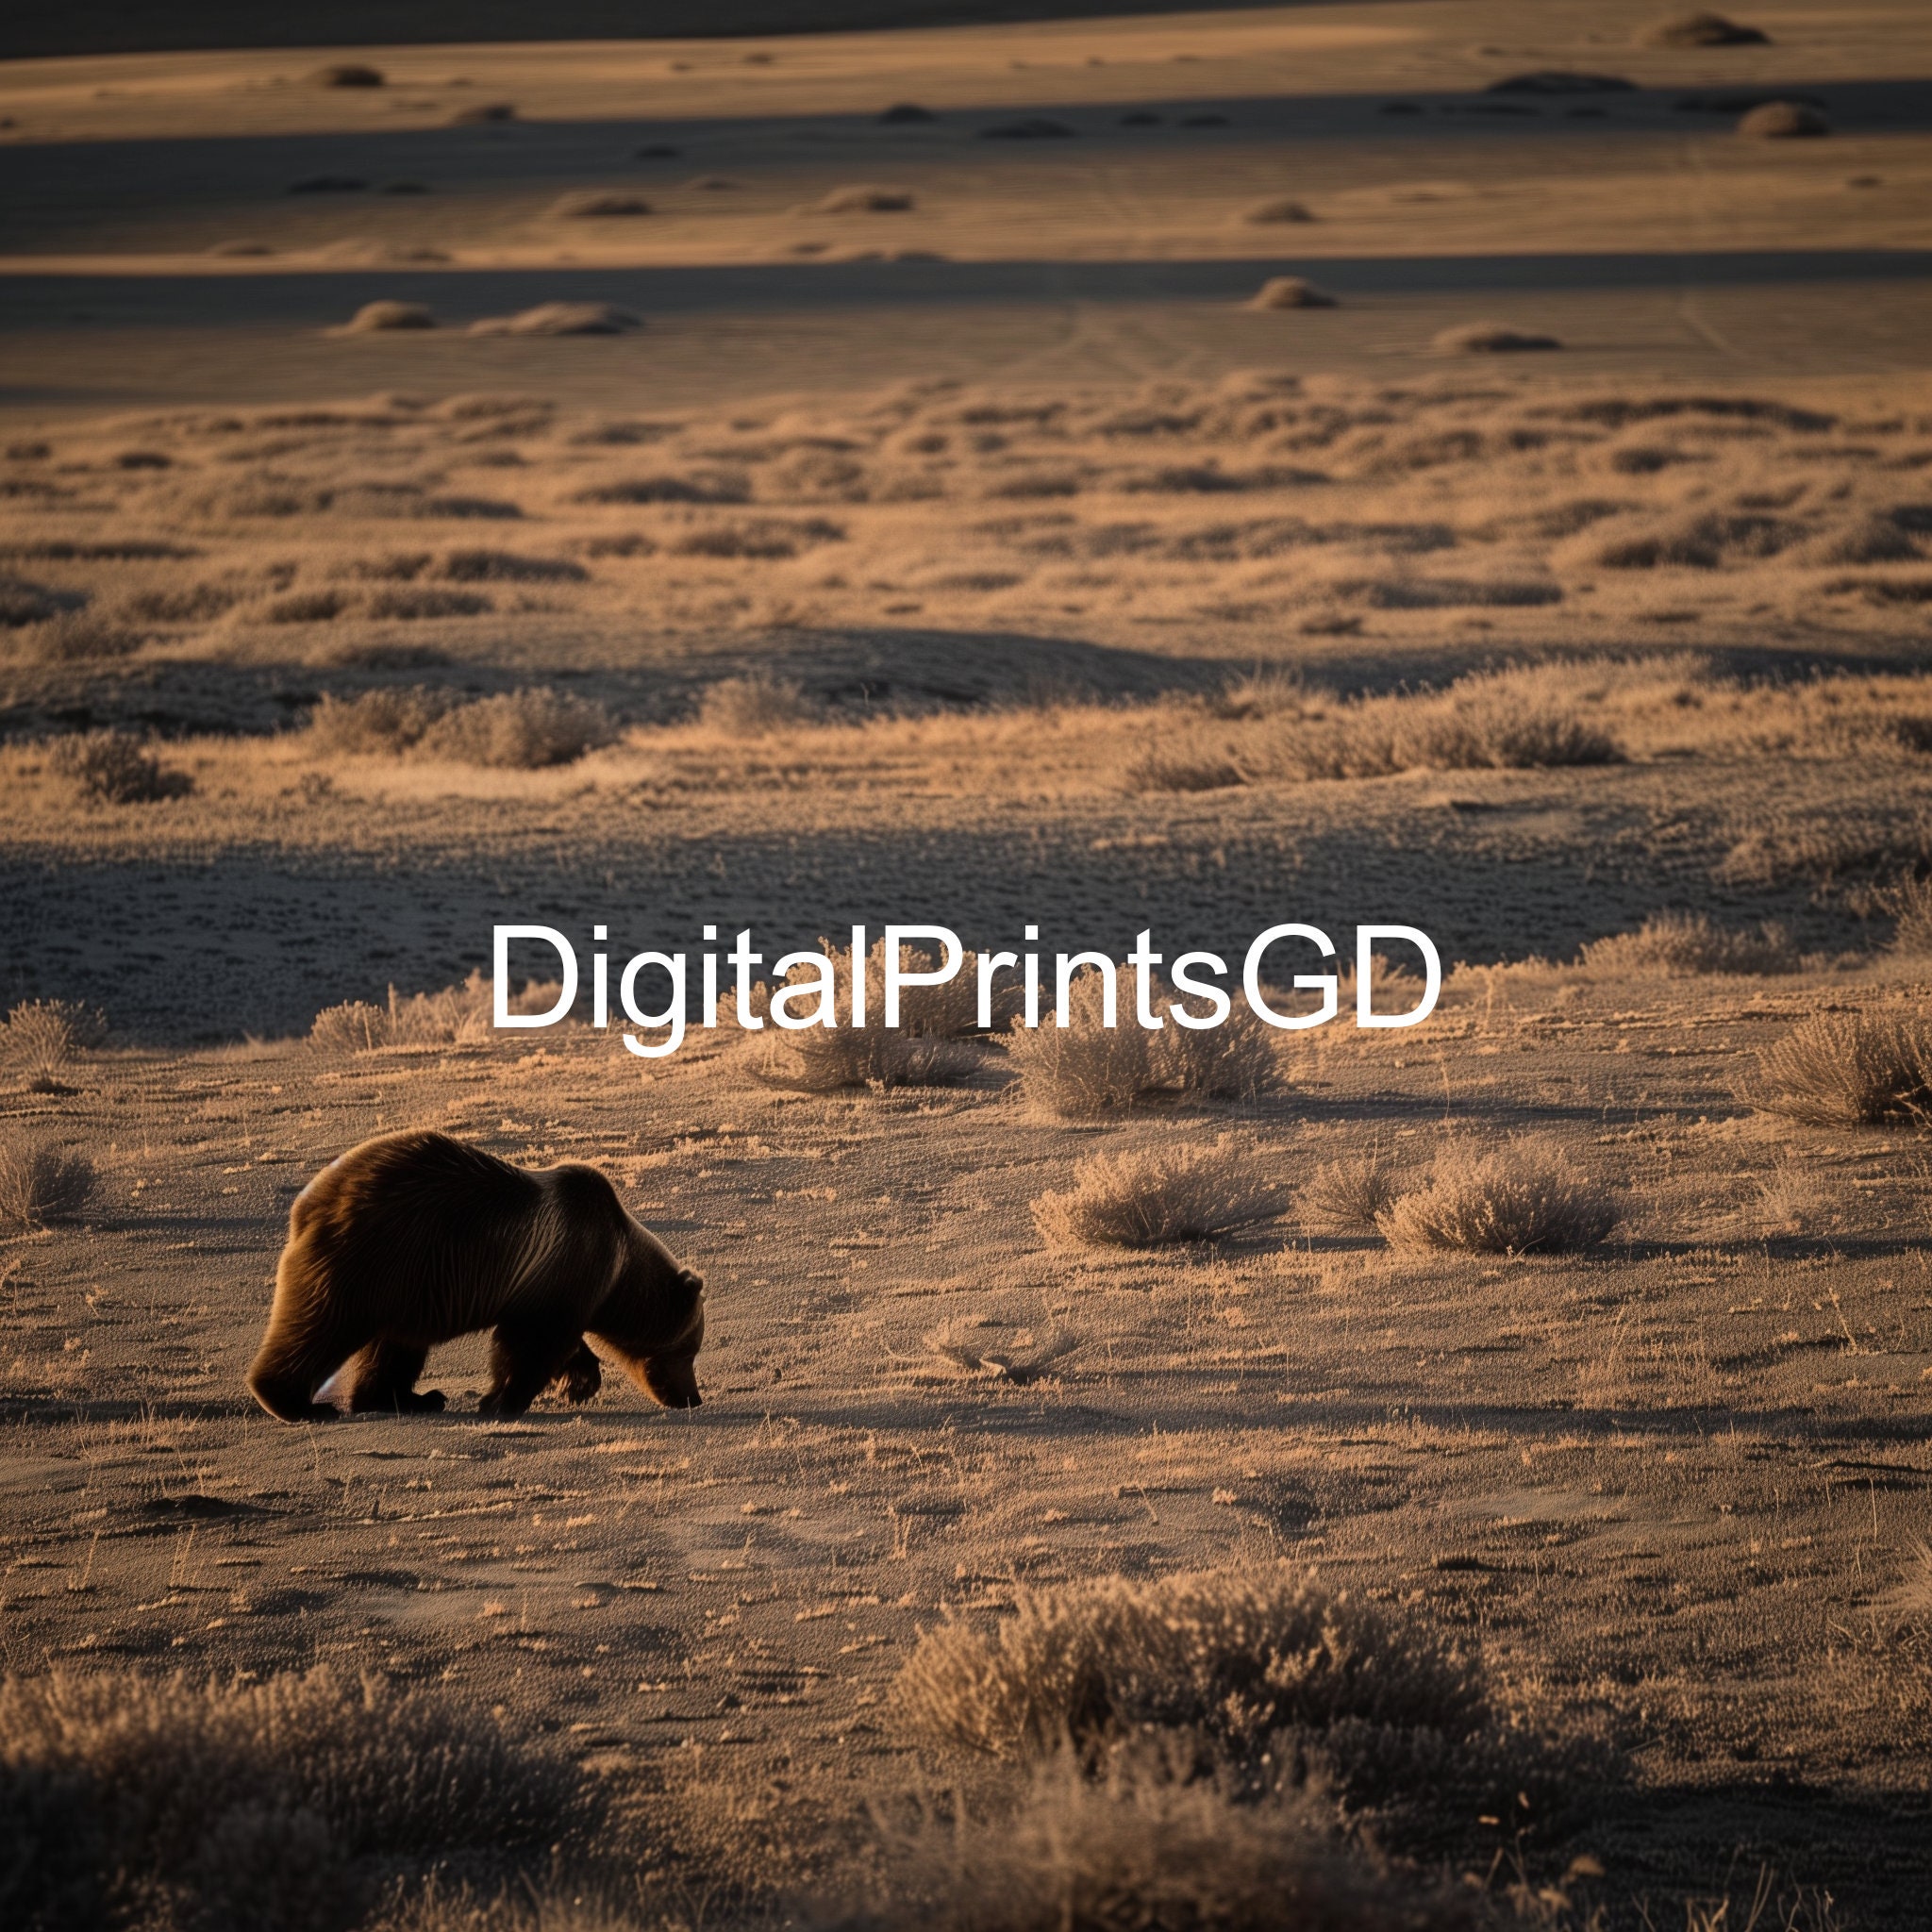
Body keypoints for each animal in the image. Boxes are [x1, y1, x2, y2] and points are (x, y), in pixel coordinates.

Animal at [246, 1129, 704, 1422]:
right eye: (689, 1350)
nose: (693, 1397)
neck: (617, 1271)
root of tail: (308, 1203)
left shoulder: (551, 1288)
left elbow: (554, 1341)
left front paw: (578, 1381)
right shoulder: (564, 1267)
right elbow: (530, 1346)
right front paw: (503, 1401)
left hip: (406, 1286)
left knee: (394, 1345)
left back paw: (411, 1398)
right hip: (372, 1256)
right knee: (321, 1326)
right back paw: (297, 1403)